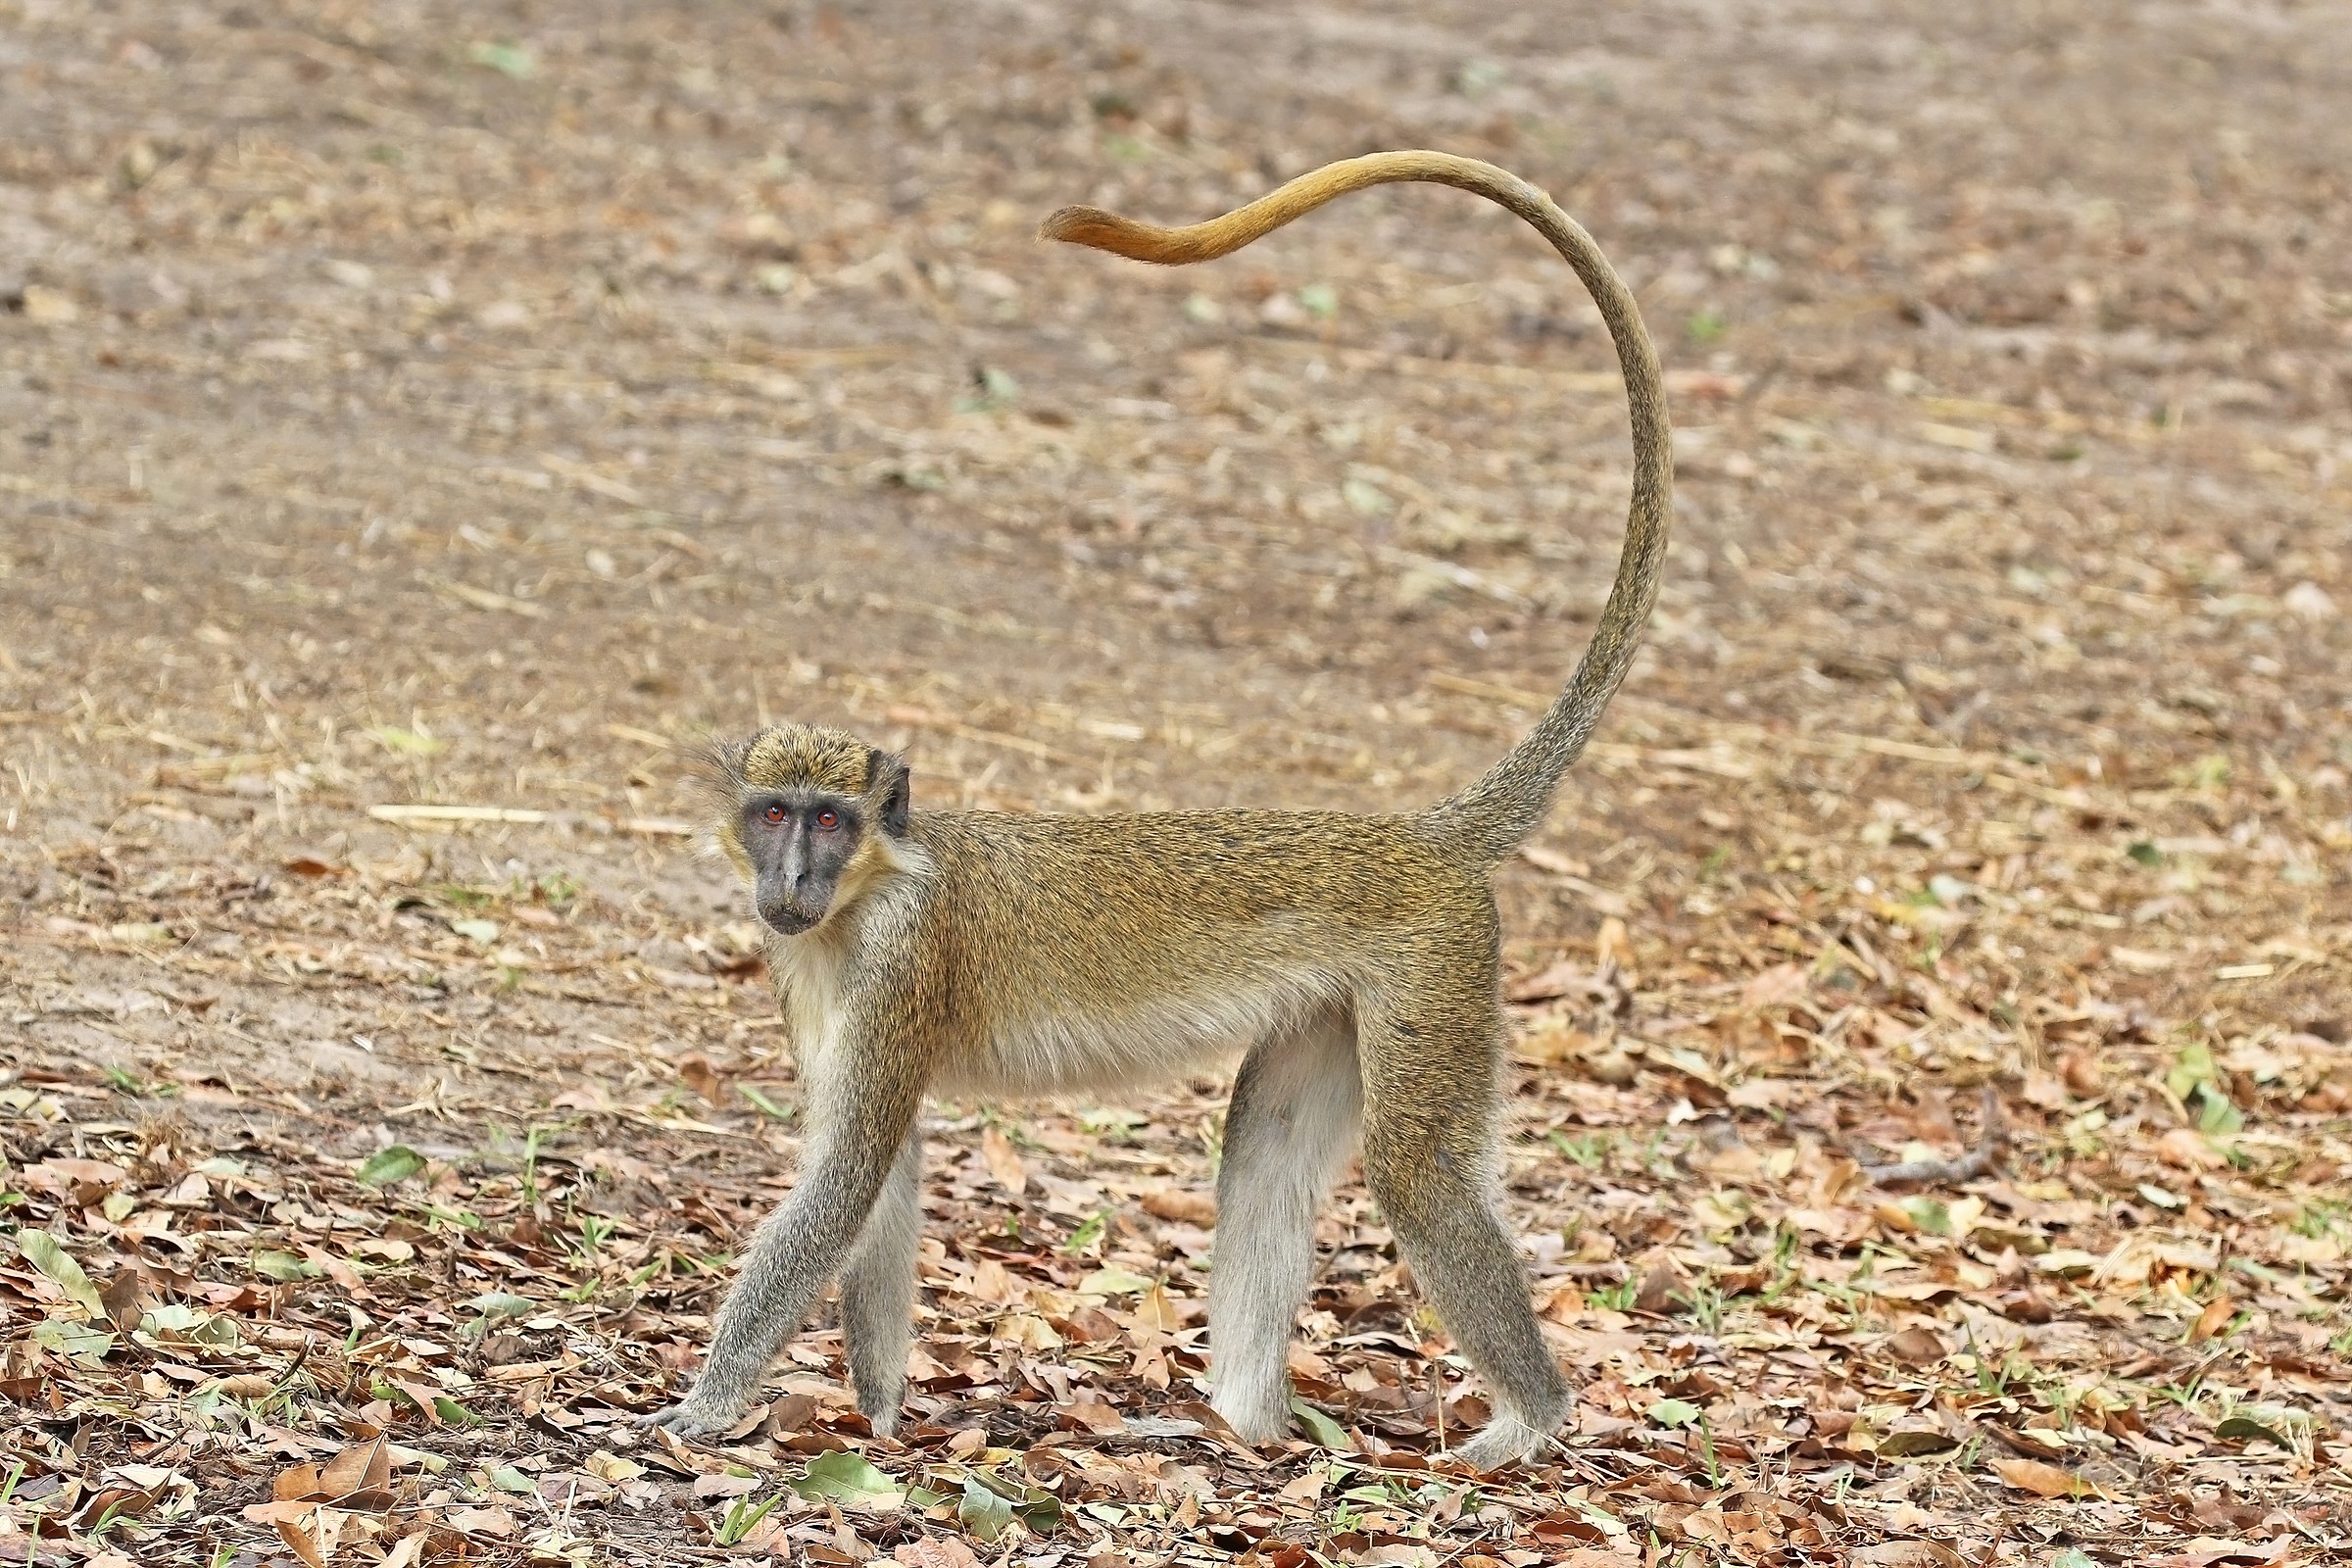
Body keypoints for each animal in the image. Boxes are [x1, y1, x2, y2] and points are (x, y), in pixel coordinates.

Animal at [647, 151, 1671, 1471]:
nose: (788, 883)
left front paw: (702, 1408)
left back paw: (1528, 1425)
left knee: (1420, 1173)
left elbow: (844, 1180)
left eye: (829, 820)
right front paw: (875, 1414)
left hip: (1439, 971)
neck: (866, 893)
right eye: (773, 814)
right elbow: (877, 1172)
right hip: (1337, 1005)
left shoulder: (900, 959)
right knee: (1267, 1147)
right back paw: (1237, 1419)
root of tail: (1421, 837)